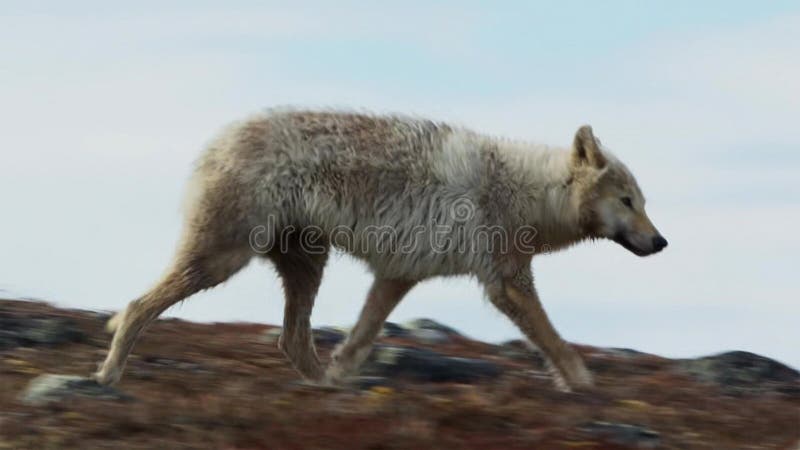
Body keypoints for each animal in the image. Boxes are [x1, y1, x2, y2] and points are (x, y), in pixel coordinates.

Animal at [93, 109, 667, 391]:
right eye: (628, 201)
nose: (662, 242)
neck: (527, 192)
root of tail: (219, 139)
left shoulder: (398, 274)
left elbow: (362, 336)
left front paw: (344, 373)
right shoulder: (506, 282)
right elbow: (554, 339)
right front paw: (583, 382)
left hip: (305, 263)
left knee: (291, 340)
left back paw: (324, 386)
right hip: (224, 259)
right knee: (139, 305)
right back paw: (109, 374)